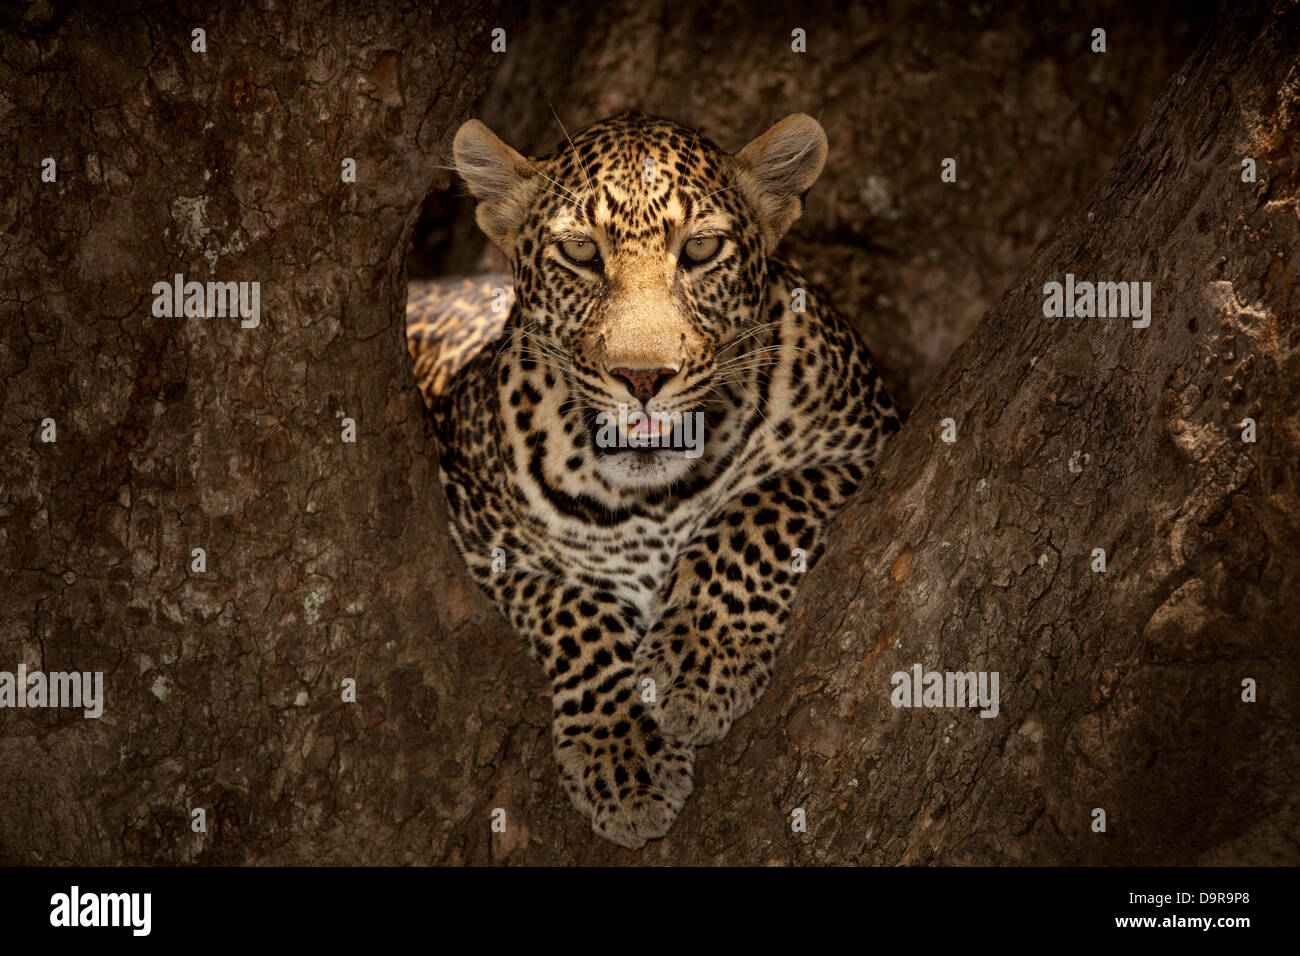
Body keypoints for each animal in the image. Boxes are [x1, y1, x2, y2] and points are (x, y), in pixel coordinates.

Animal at [406, 110, 901, 849]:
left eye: (701, 249)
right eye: (581, 253)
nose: (642, 378)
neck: (652, 500)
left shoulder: (869, 439)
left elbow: (756, 509)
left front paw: (698, 662)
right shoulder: (476, 527)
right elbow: (573, 610)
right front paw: (625, 756)